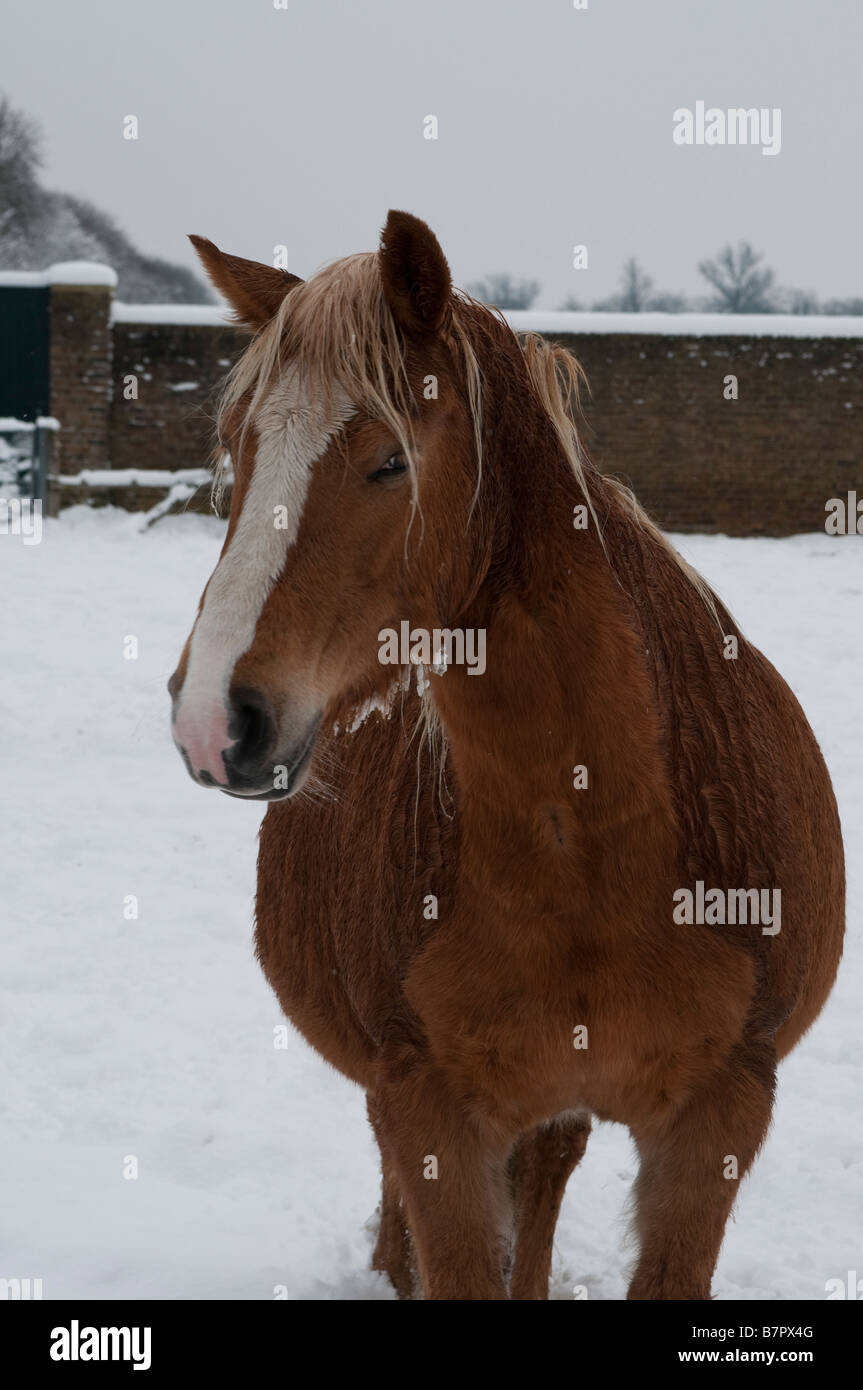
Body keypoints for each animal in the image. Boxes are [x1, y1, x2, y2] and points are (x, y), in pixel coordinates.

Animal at [168, 211, 845, 1300]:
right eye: (239, 447)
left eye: (389, 460)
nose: (210, 719)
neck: (586, 831)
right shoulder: (428, 1109)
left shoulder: (720, 1116)